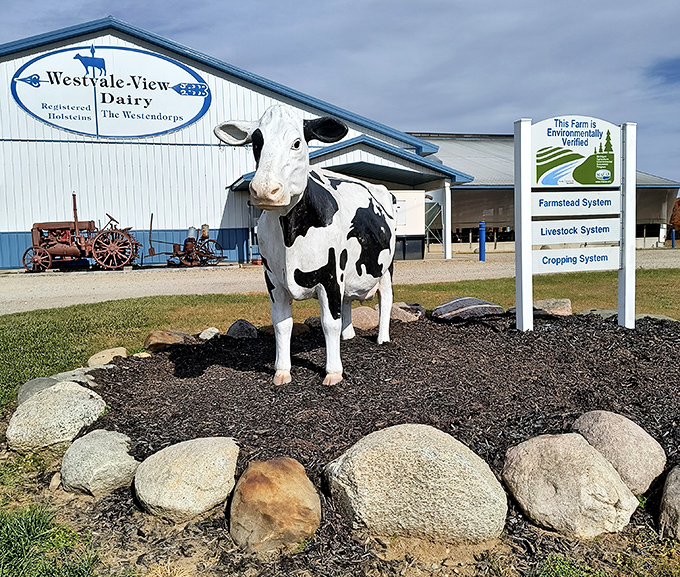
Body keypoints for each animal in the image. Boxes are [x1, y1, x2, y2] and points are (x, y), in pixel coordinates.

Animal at [214, 105, 397, 386]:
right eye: (256, 143)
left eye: (297, 143)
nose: (264, 190)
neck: (290, 235)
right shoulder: (273, 280)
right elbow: (282, 323)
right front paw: (281, 371)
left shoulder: (331, 275)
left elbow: (329, 322)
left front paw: (333, 372)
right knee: (347, 303)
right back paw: (348, 336)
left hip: (387, 268)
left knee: (385, 299)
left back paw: (382, 338)